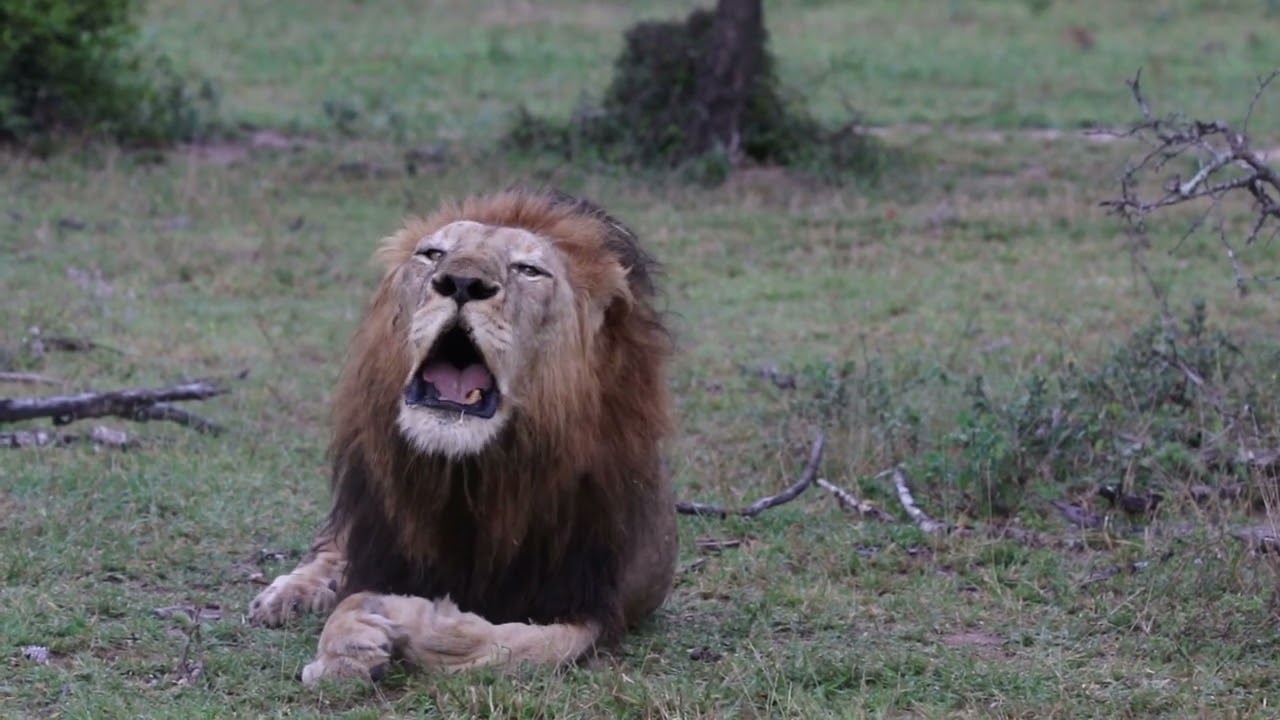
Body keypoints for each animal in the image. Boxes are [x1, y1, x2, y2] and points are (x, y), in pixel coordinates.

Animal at [247, 188, 678, 685]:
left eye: (528, 269)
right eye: (433, 254)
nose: (461, 283)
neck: (468, 473)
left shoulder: (594, 604)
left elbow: (515, 644)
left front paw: (405, 617)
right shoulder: (384, 546)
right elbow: (350, 593)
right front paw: (344, 647)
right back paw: (285, 594)